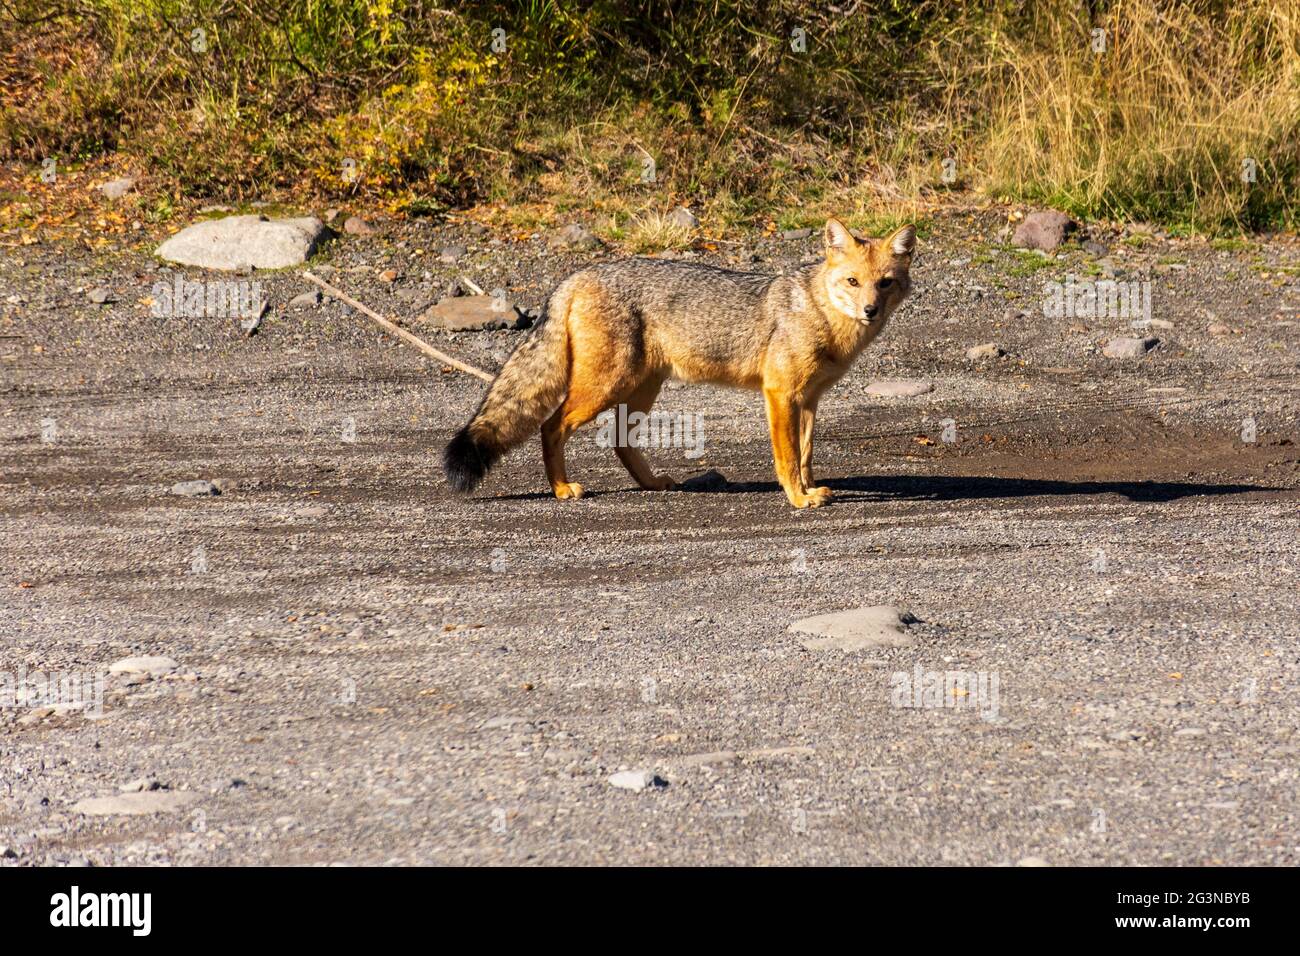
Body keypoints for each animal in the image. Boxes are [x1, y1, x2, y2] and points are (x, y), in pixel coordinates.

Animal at [443, 217, 915, 509]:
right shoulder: (780, 394)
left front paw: (811, 488)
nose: (870, 310)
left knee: (619, 440)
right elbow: (786, 458)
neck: (821, 314)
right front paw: (798, 498)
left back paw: (652, 484)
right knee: (551, 425)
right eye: (852, 281)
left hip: (639, 389)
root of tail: (576, 276)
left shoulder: (811, 399)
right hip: (604, 387)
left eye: (884, 283)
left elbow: (805, 455)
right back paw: (561, 489)